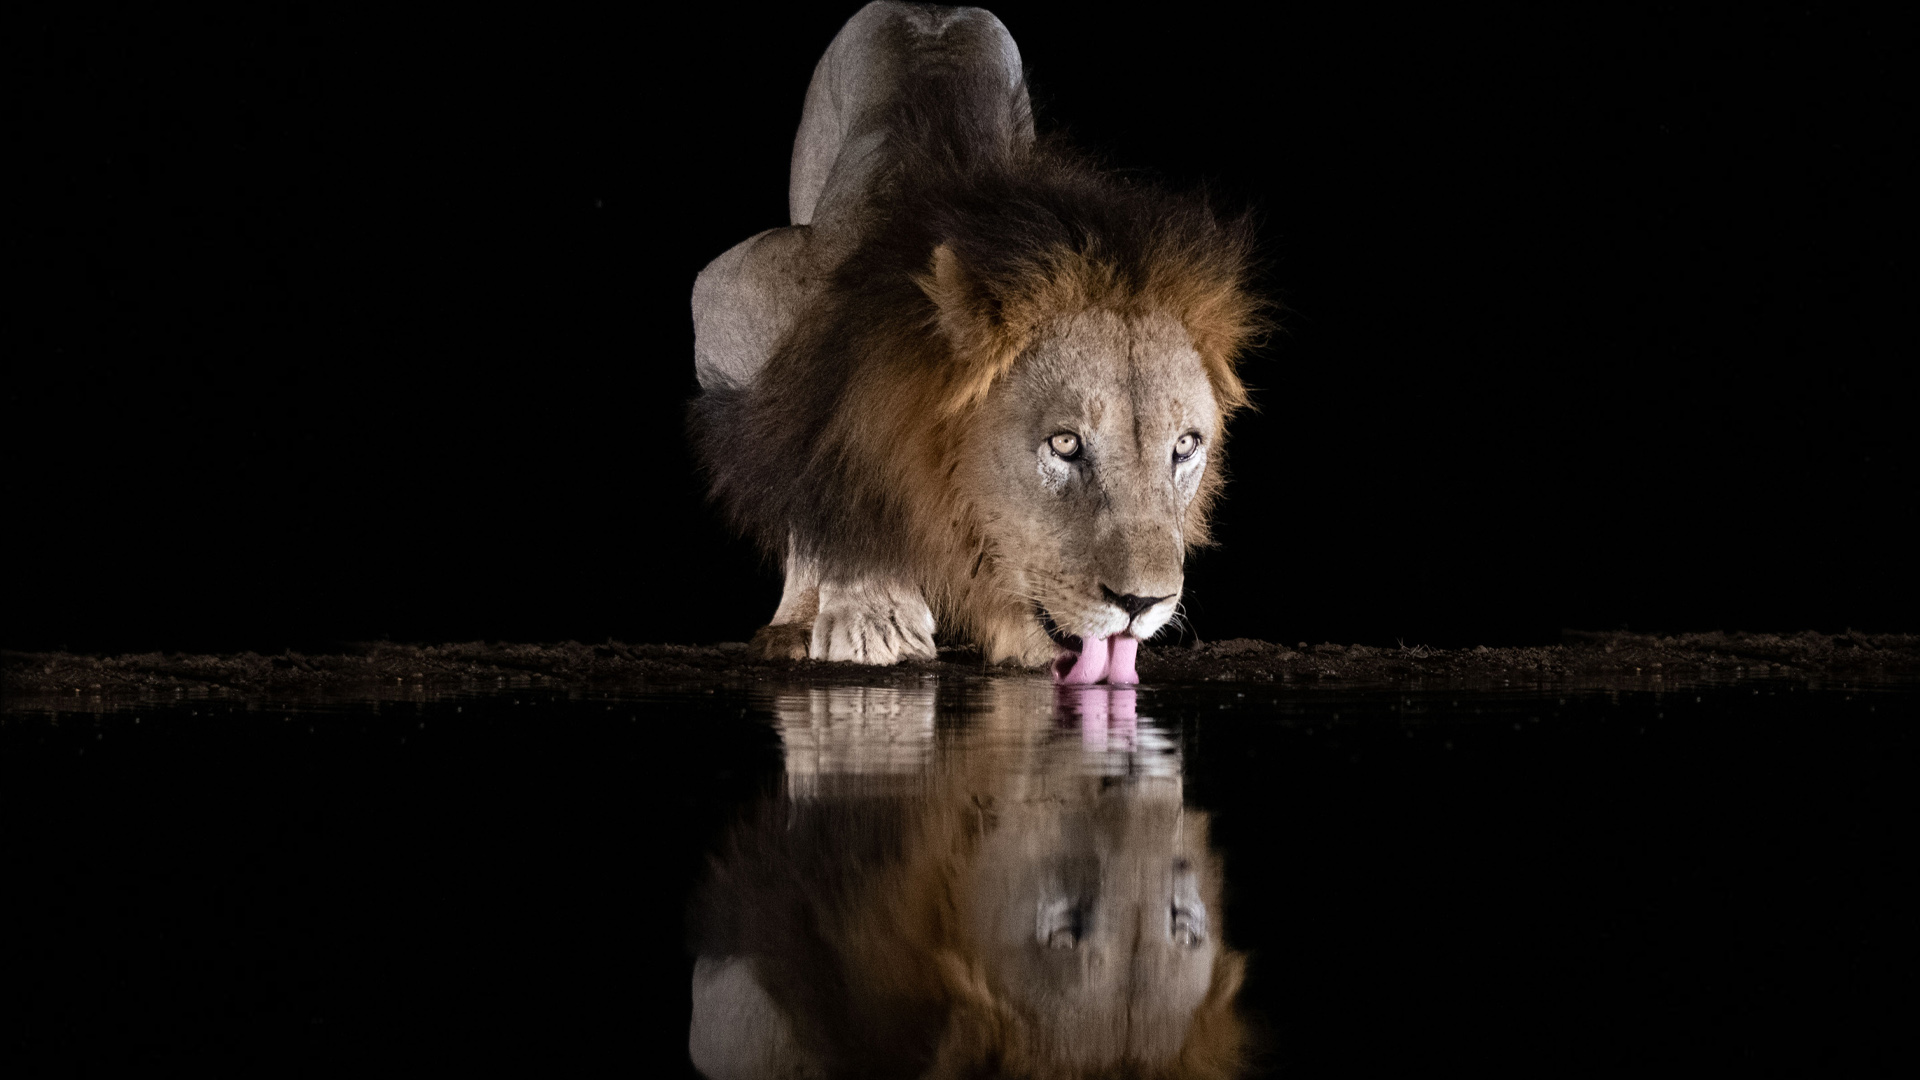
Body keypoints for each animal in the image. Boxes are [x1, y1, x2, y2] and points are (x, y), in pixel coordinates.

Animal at [691, 3, 1262, 683]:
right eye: (1065, 444)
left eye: (1185, 447)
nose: (1141, 603)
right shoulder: (727, 299)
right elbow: (820, 457)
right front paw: (872, 612)